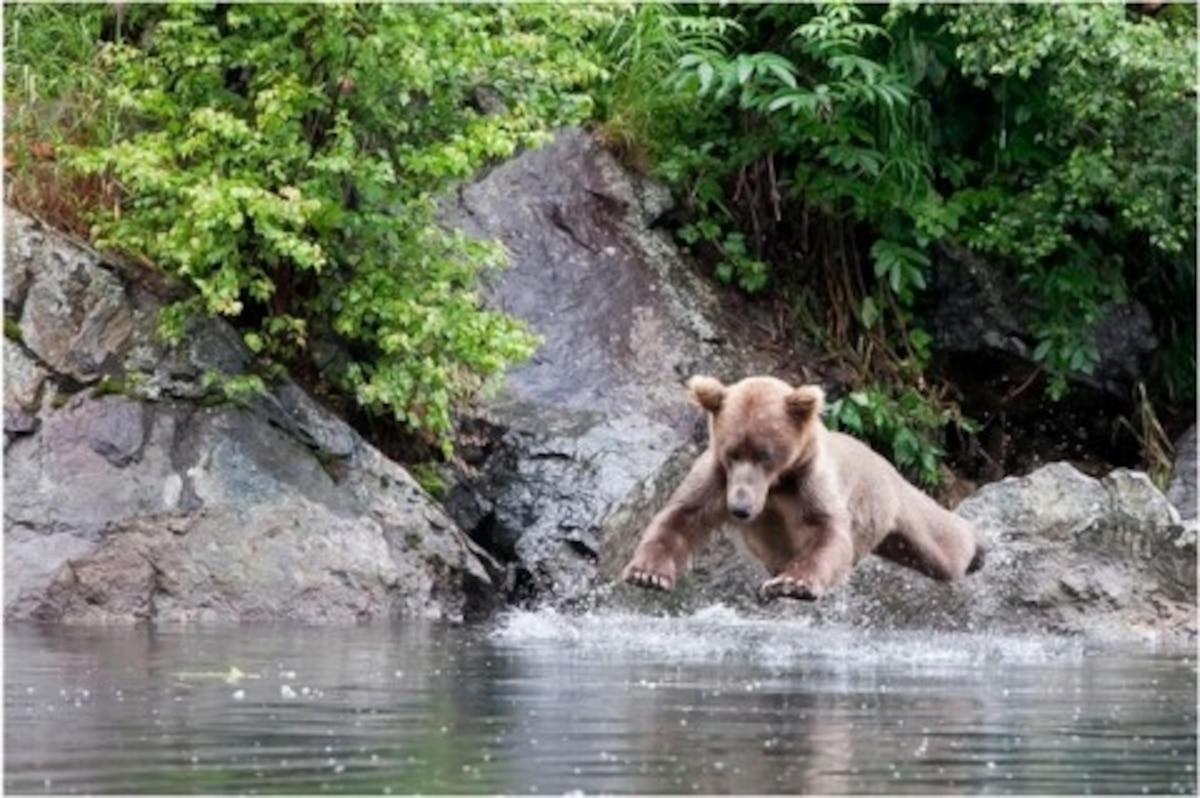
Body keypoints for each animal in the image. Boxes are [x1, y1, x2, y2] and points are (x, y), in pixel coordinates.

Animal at [622, 375, 985, 600]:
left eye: (764, 454)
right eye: (732, 451)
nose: (740, 508)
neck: (776, 486)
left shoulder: (811, 481)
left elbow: (827, 532)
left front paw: (791, 584)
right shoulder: (717, 477)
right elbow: (682, 515)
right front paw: (647, 574)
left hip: (895, 501)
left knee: (945, 544)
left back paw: (977, 549)